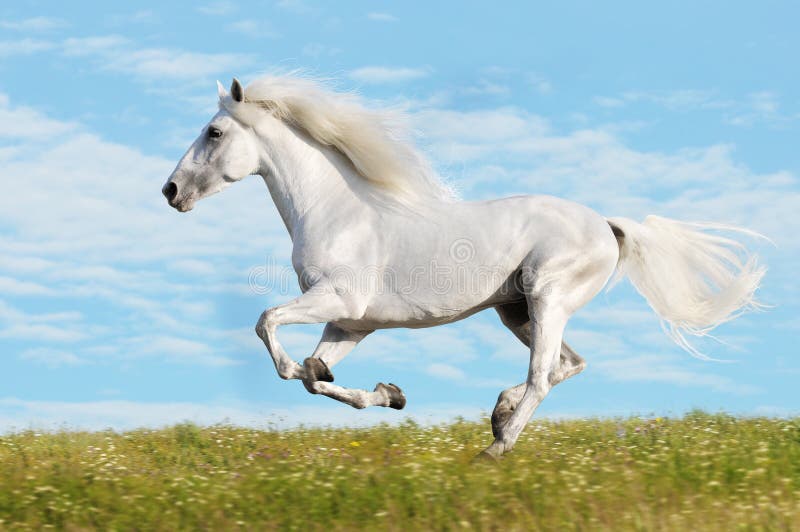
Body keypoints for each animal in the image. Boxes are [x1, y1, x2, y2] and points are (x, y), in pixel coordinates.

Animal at [162, 76, 765, 459]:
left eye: (214, 133)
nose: (170, 191)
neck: (337, 211)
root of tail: (607, 226)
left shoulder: (337, 301)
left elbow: (270, 328)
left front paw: (314, 371)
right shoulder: (350, 323)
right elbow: (317, 379)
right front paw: (389, 393)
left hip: (546, 298)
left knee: (544, 374)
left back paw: (496, 446)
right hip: (516, 311)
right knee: (569, 364)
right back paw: (499, 411)